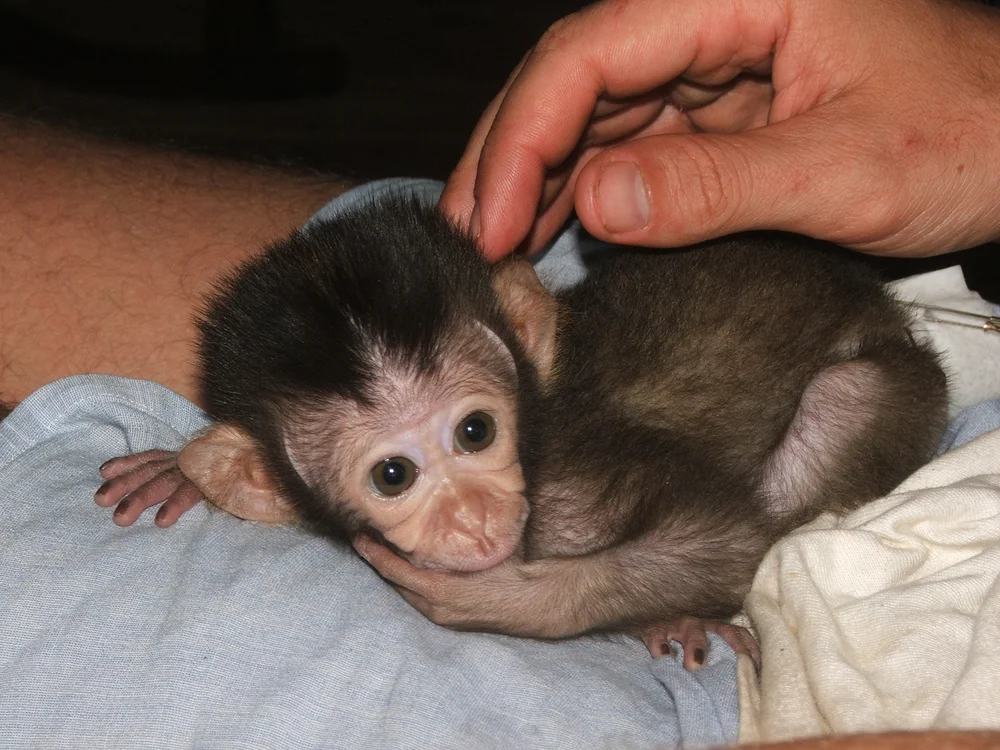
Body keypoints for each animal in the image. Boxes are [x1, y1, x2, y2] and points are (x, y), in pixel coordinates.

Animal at [94, 192, 948, 669]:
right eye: (393, 475)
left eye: (476, 431)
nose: (473, 518)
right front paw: (180, 469)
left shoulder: (581, 477)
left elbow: (726, 536)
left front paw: (504, 600)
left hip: (902, 383)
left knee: (847, 396)